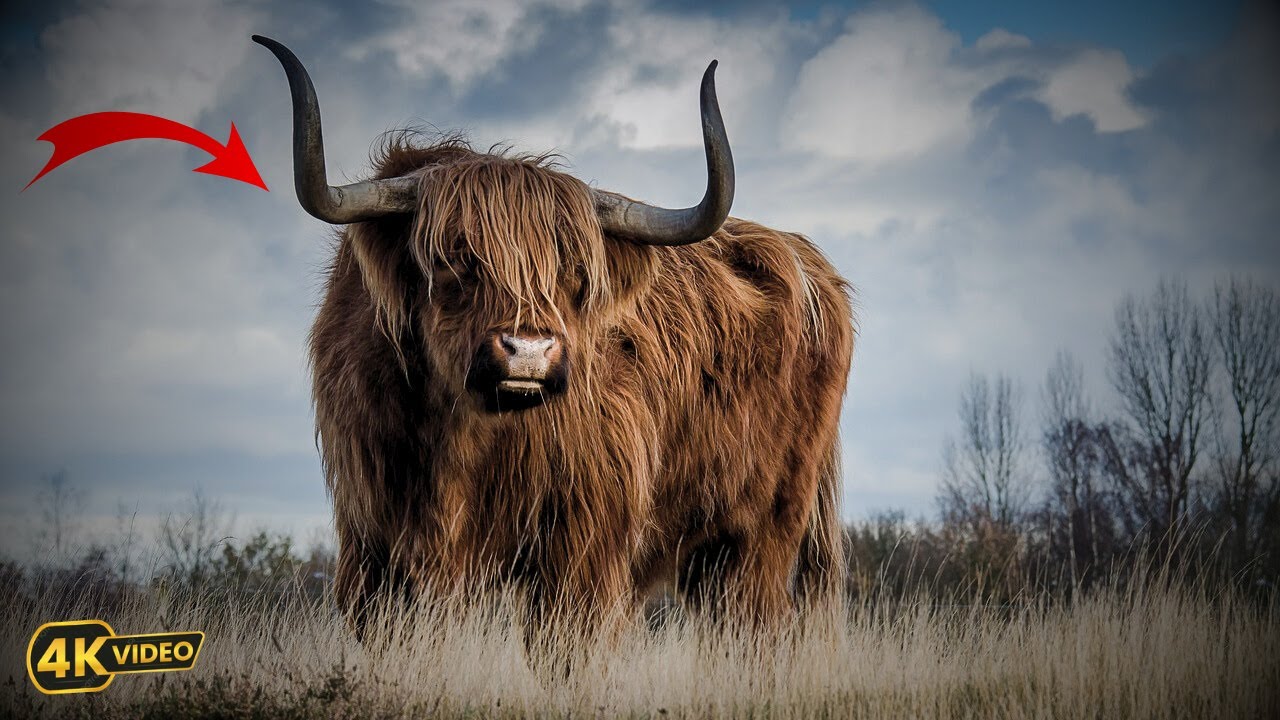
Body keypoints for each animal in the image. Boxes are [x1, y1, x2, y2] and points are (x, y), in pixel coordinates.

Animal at [254, 36, 854, 640]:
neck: (460, 440)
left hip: (761, 534)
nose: (529, 352)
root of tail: (808, 261)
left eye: (575, 273)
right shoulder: (373, 543)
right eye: (456, 260)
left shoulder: (583, 545)